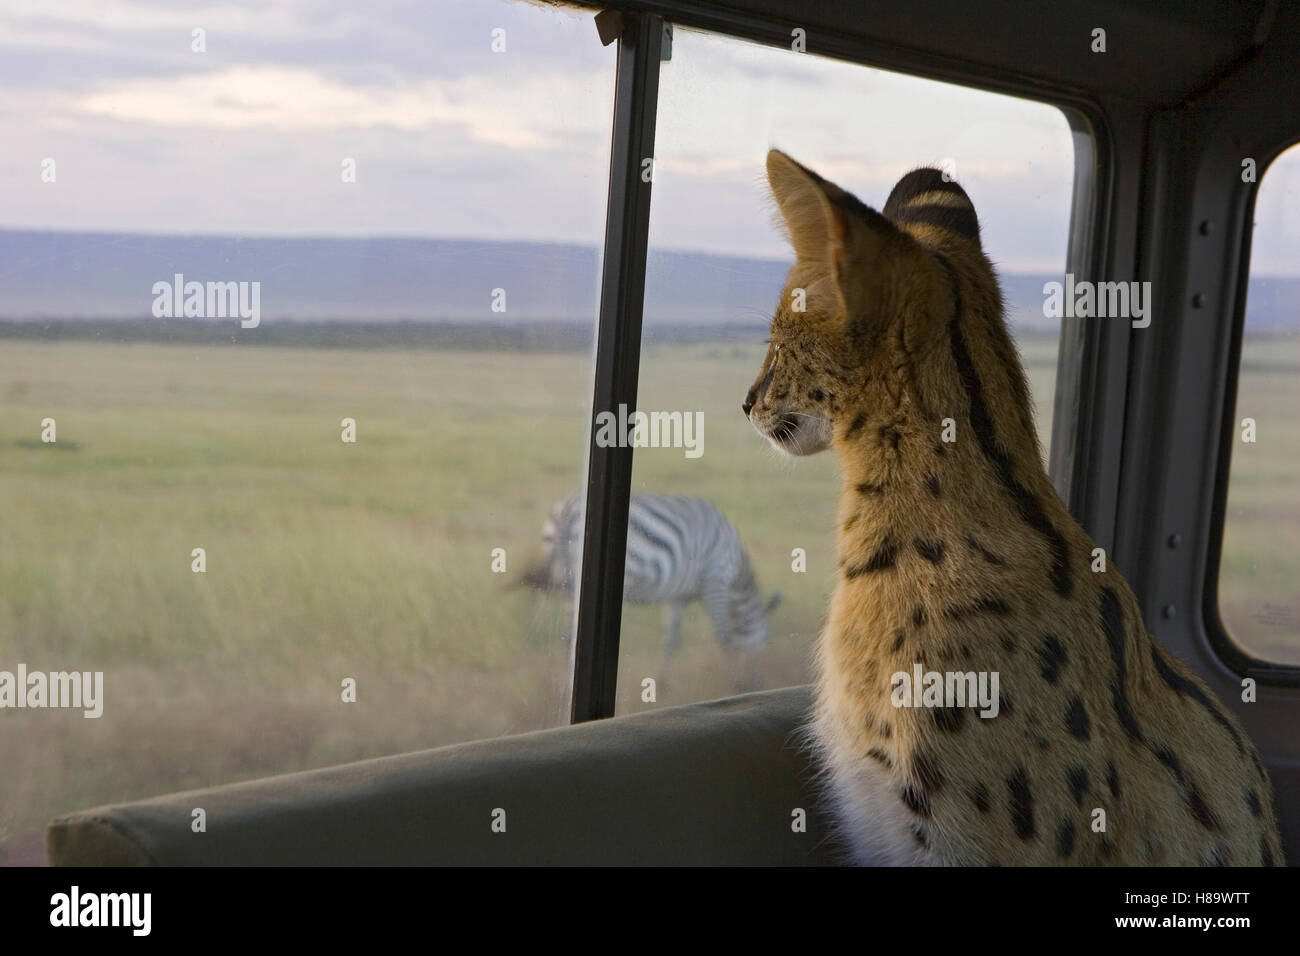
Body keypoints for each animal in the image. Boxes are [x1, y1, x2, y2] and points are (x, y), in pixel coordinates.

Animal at [520, 490, 781, 691]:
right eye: (767, 640)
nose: (759, 685)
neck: (736, 570)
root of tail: (566, 509)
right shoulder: (714, 581)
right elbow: (725, 637)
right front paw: (736, 683)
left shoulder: (679, 597)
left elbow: (671, 639)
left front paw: (662, 683)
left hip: (565, 581)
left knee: (567, 636)